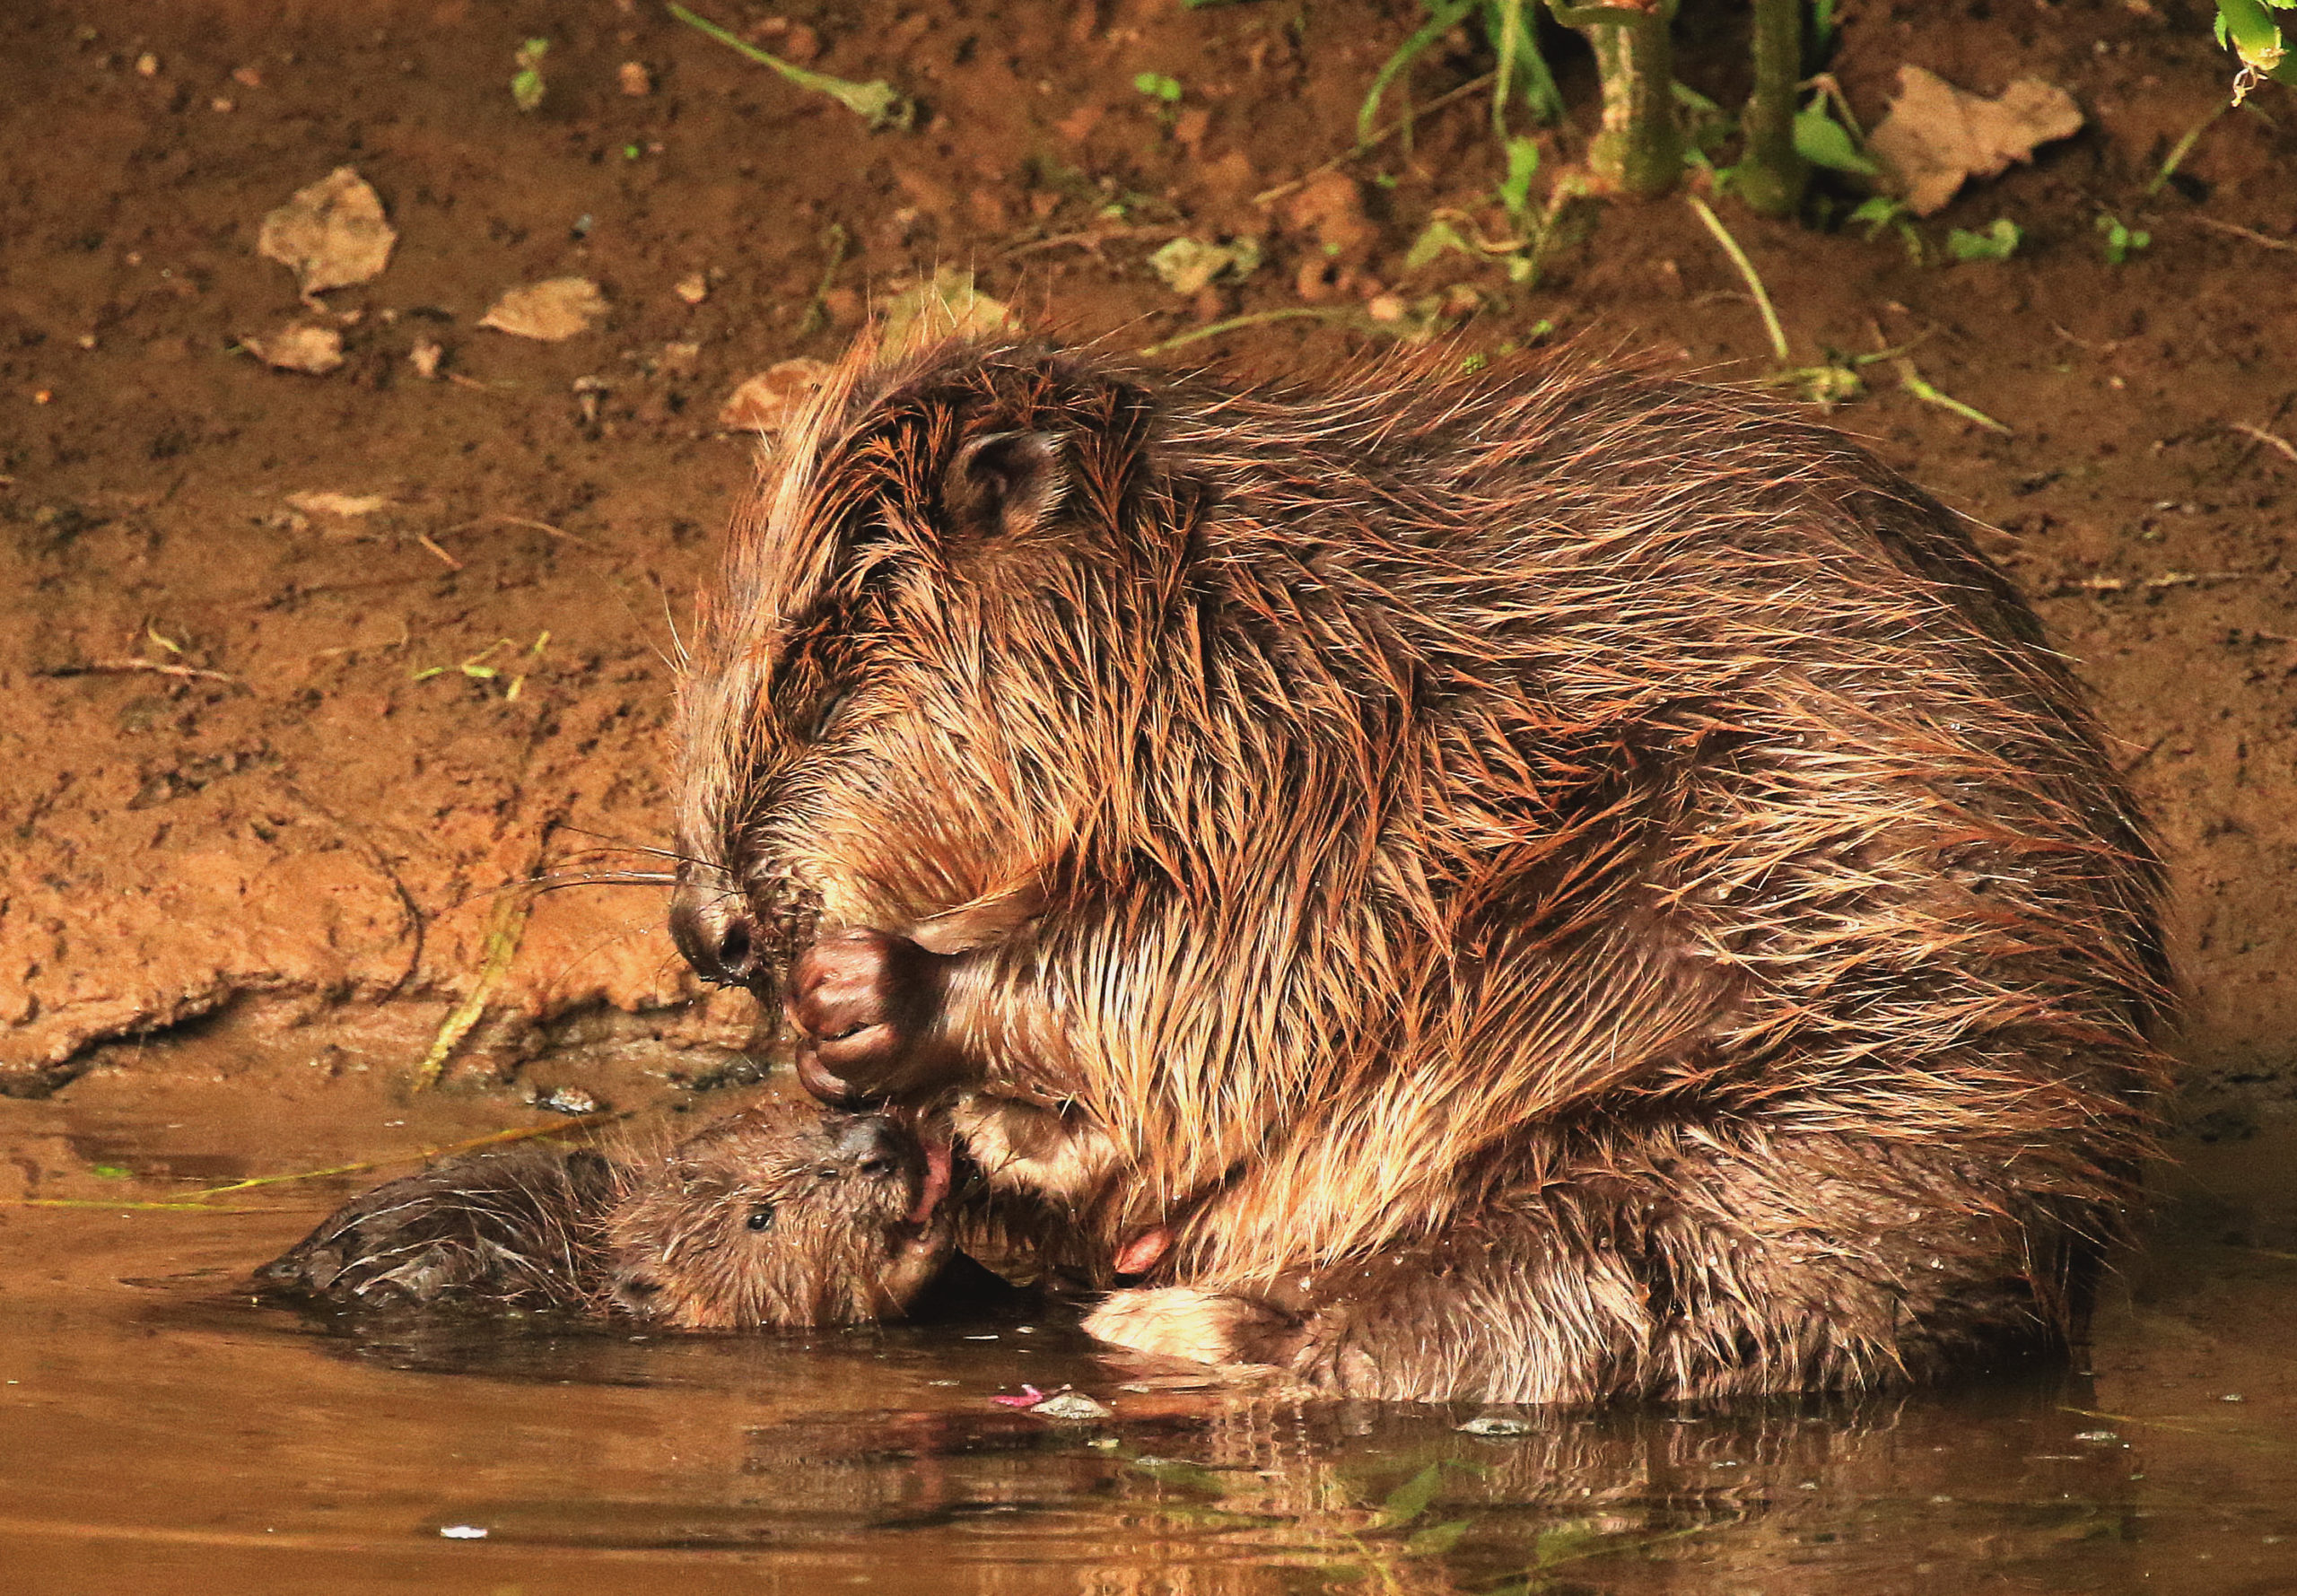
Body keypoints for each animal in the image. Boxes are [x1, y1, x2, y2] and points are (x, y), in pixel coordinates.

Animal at [667, 336, 2173, 1404]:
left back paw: (1177, 1315)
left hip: (1781, 1134)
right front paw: (899, 1091)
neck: (1213, 613)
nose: (704, 927)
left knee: (1528, 1308)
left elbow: (1217, 975)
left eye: (815, 683)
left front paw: (874, 996)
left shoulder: (1341, 769)